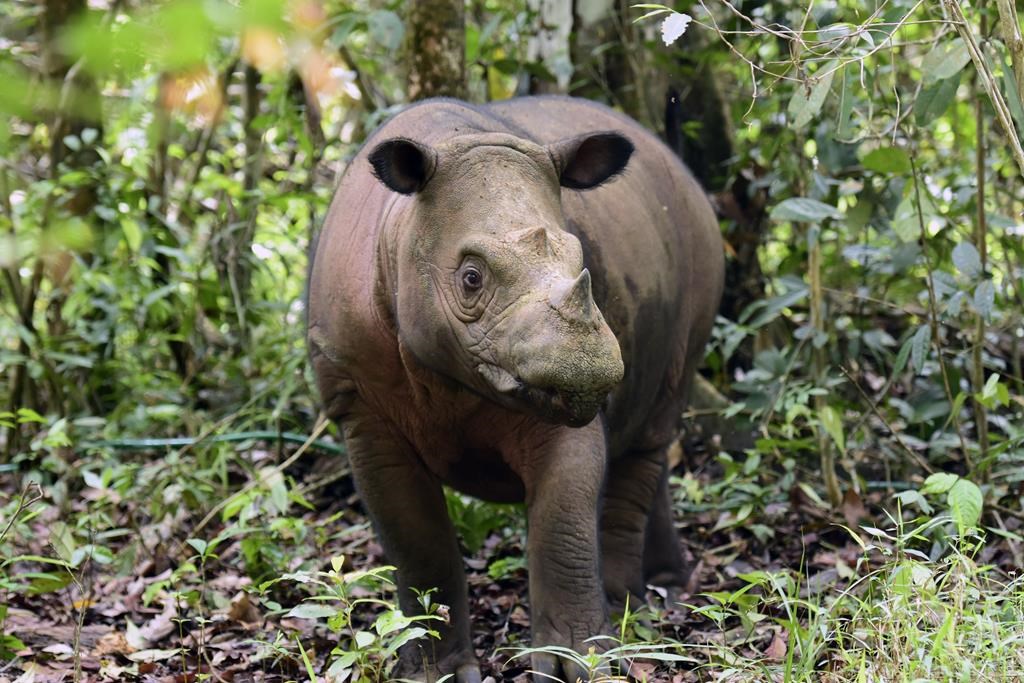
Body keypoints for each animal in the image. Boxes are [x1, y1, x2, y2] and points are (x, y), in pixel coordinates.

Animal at [307, 96, 723, 681]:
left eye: (582, 263)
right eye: (471, 278)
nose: (589, 368)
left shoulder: (556, 401)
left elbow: (564, 524)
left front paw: (576, 663)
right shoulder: (360, 405)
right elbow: (415, 541)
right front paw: (436, 672)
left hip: (702, 242)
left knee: (654, 428)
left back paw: (633, 609)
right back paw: (661, 588)